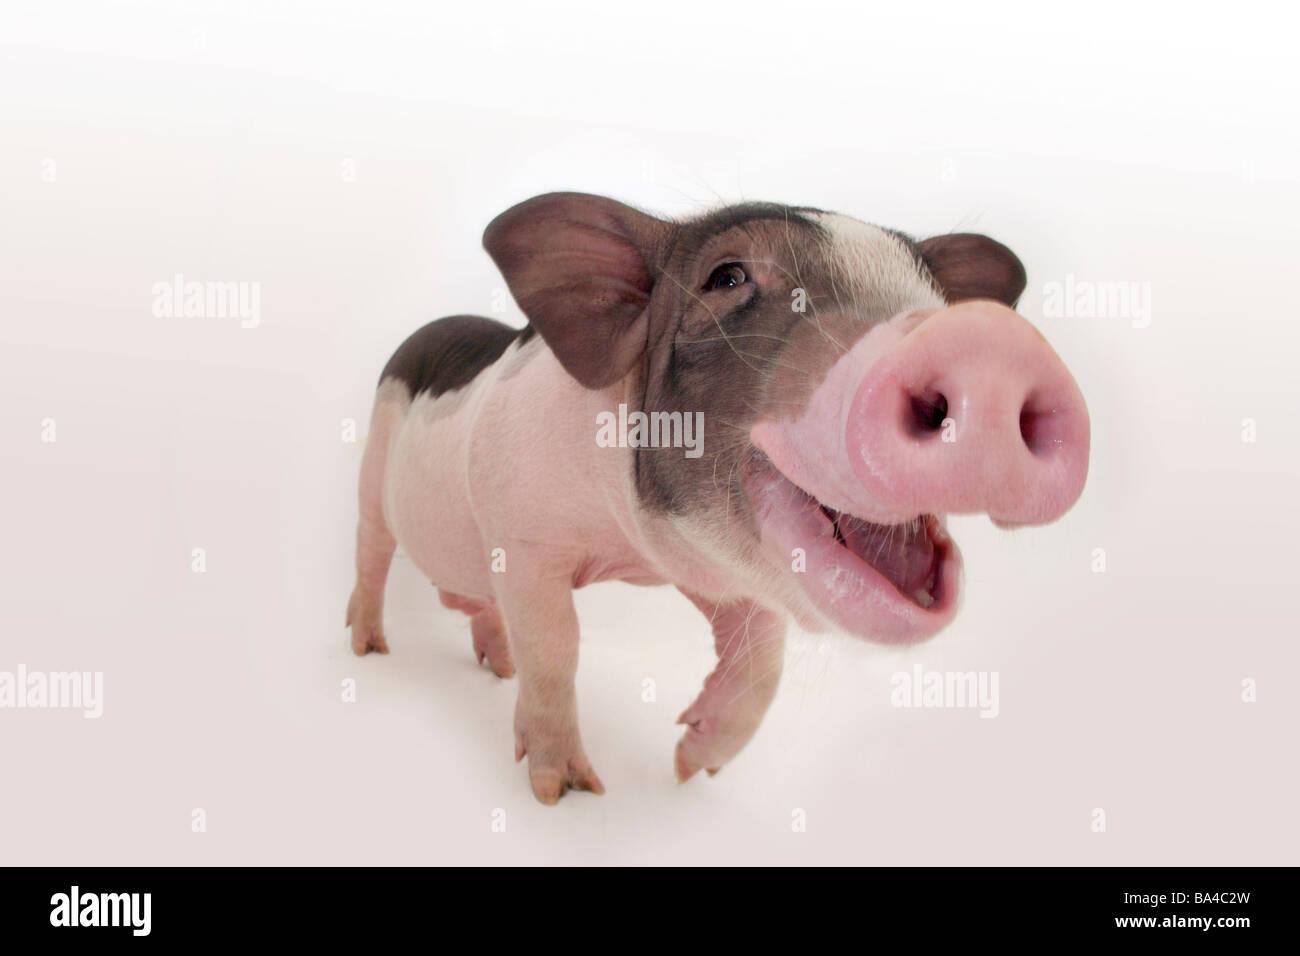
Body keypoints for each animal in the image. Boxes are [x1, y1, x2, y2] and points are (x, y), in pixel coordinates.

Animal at [346, 192, 1090, 804]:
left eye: (932, 291)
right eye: (727, 278)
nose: (990, 341)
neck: (627, 554)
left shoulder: (712, 570)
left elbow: (762, 662)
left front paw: (691, 768)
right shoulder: (523, 537)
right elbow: (557, 647)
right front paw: (569, 792)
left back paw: (497, 668)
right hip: (374, 452)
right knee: (373, 551)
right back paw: (368, 648)